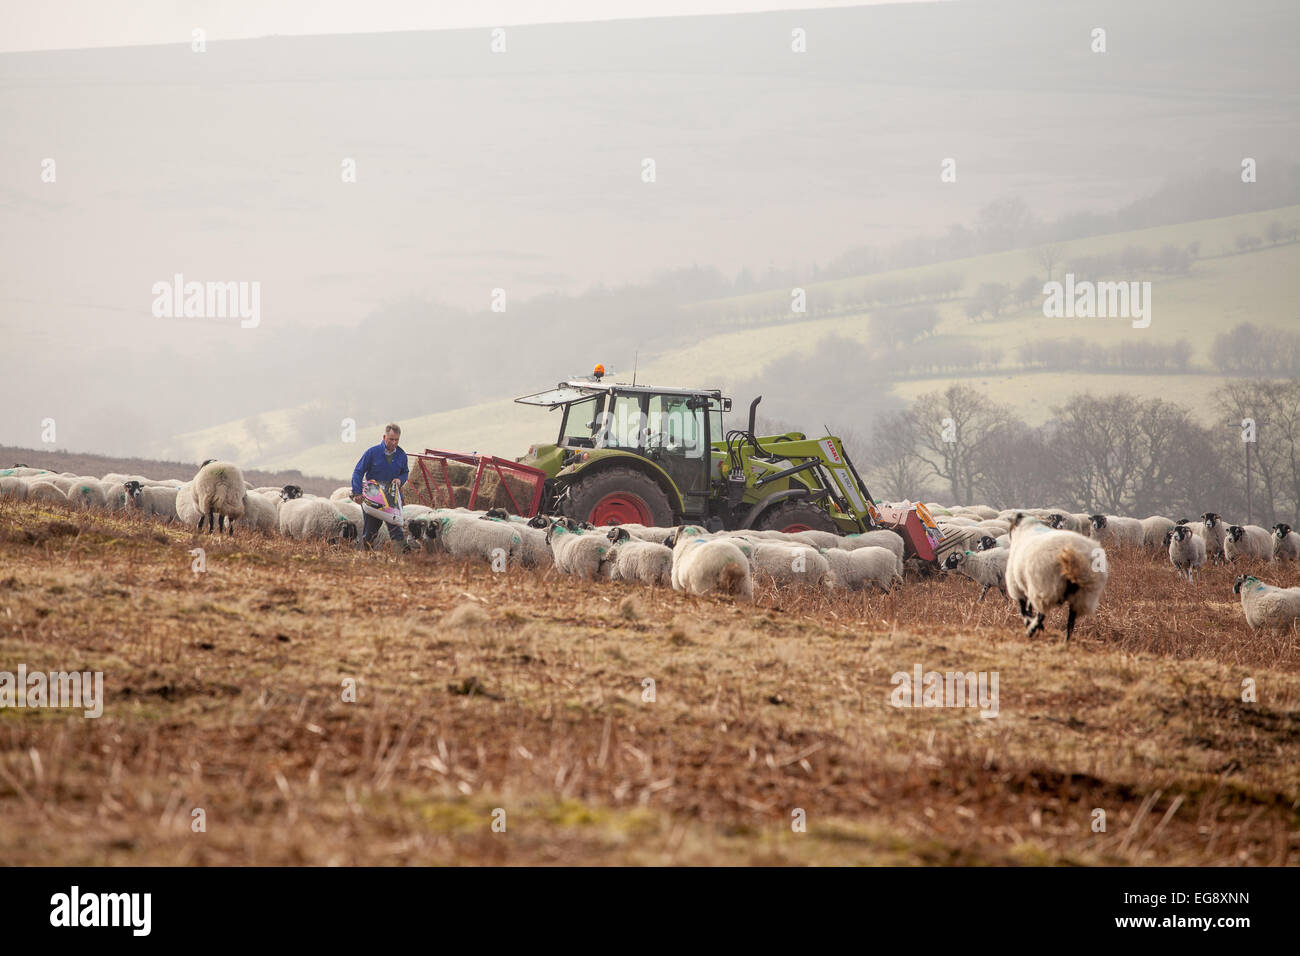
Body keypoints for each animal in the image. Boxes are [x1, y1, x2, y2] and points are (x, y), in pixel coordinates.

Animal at [1006, 513, 1108, 642]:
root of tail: (1073, 556)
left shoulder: (1017, 587)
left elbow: (1024, 611)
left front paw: (1031, 624)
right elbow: (1028, 609)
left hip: (1045, 586)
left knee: (1041, 614)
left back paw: (1031, 631)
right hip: (1083, 595)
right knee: (1070, 623)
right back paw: (1066, 641)